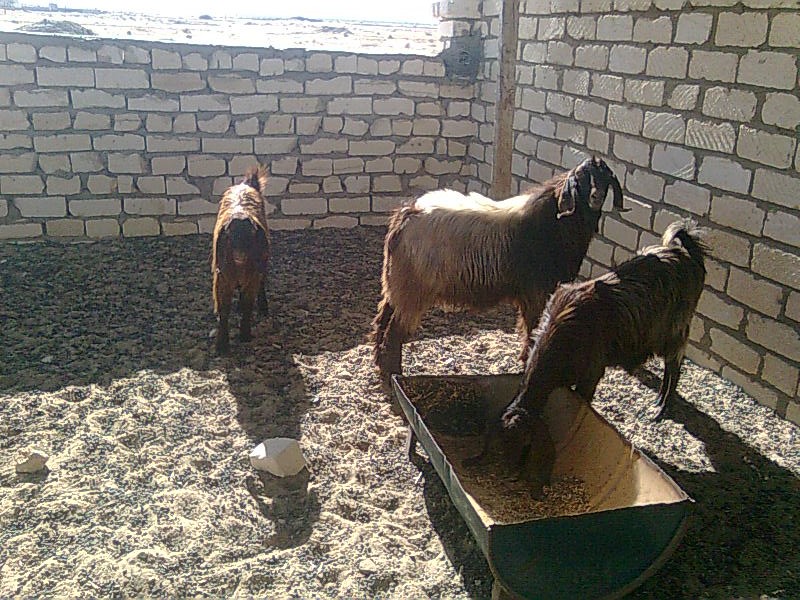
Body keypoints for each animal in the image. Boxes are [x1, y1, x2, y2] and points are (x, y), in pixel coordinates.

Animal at [211, 165, 271, 355]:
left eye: (251, 234)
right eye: (229, 235)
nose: (240, 254)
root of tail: (247, 185)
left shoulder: (252, 276)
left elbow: (247, 304)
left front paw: (245, 335)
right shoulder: (222, 279)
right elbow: (224, 309)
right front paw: (222, 346)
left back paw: (263, 307)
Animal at [371, 156, 625, 388]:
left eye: (605, 177)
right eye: (580, 178)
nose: (595, 197)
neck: (554, 223)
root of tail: (407, 215)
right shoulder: (536, 293)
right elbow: (533, 329)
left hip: (396, 284)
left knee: (383, 318)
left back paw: (380, 363)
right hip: (413, 291)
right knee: (395, 330)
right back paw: (394, 373)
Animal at [483, 220, 708, 486]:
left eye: (523, 447)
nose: (510, 476)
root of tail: (686, 255)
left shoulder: (590, 373)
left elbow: (583, 408)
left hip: (675, 331)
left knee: (674, 368)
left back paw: (659, 409)